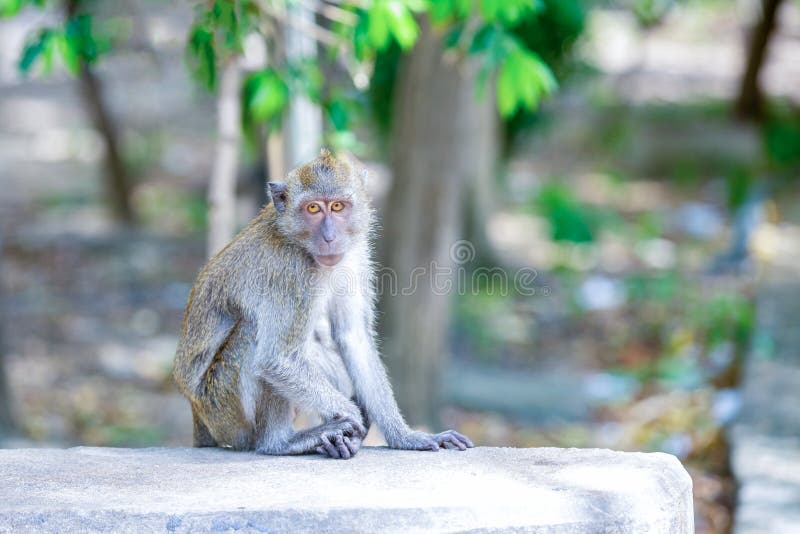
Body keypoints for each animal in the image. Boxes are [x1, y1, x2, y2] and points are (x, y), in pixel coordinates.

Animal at [173, 149, 473, 459]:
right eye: (314, 208)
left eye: (338, 206)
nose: (330, 237)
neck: (299, 243)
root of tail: (197, 414)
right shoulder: (290, 271)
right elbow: (277, 359)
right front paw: (352, 416)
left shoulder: (354, 256)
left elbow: (353, 337)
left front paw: (406, 436)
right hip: (224, 410)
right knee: (254, 334)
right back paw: (282, 442)